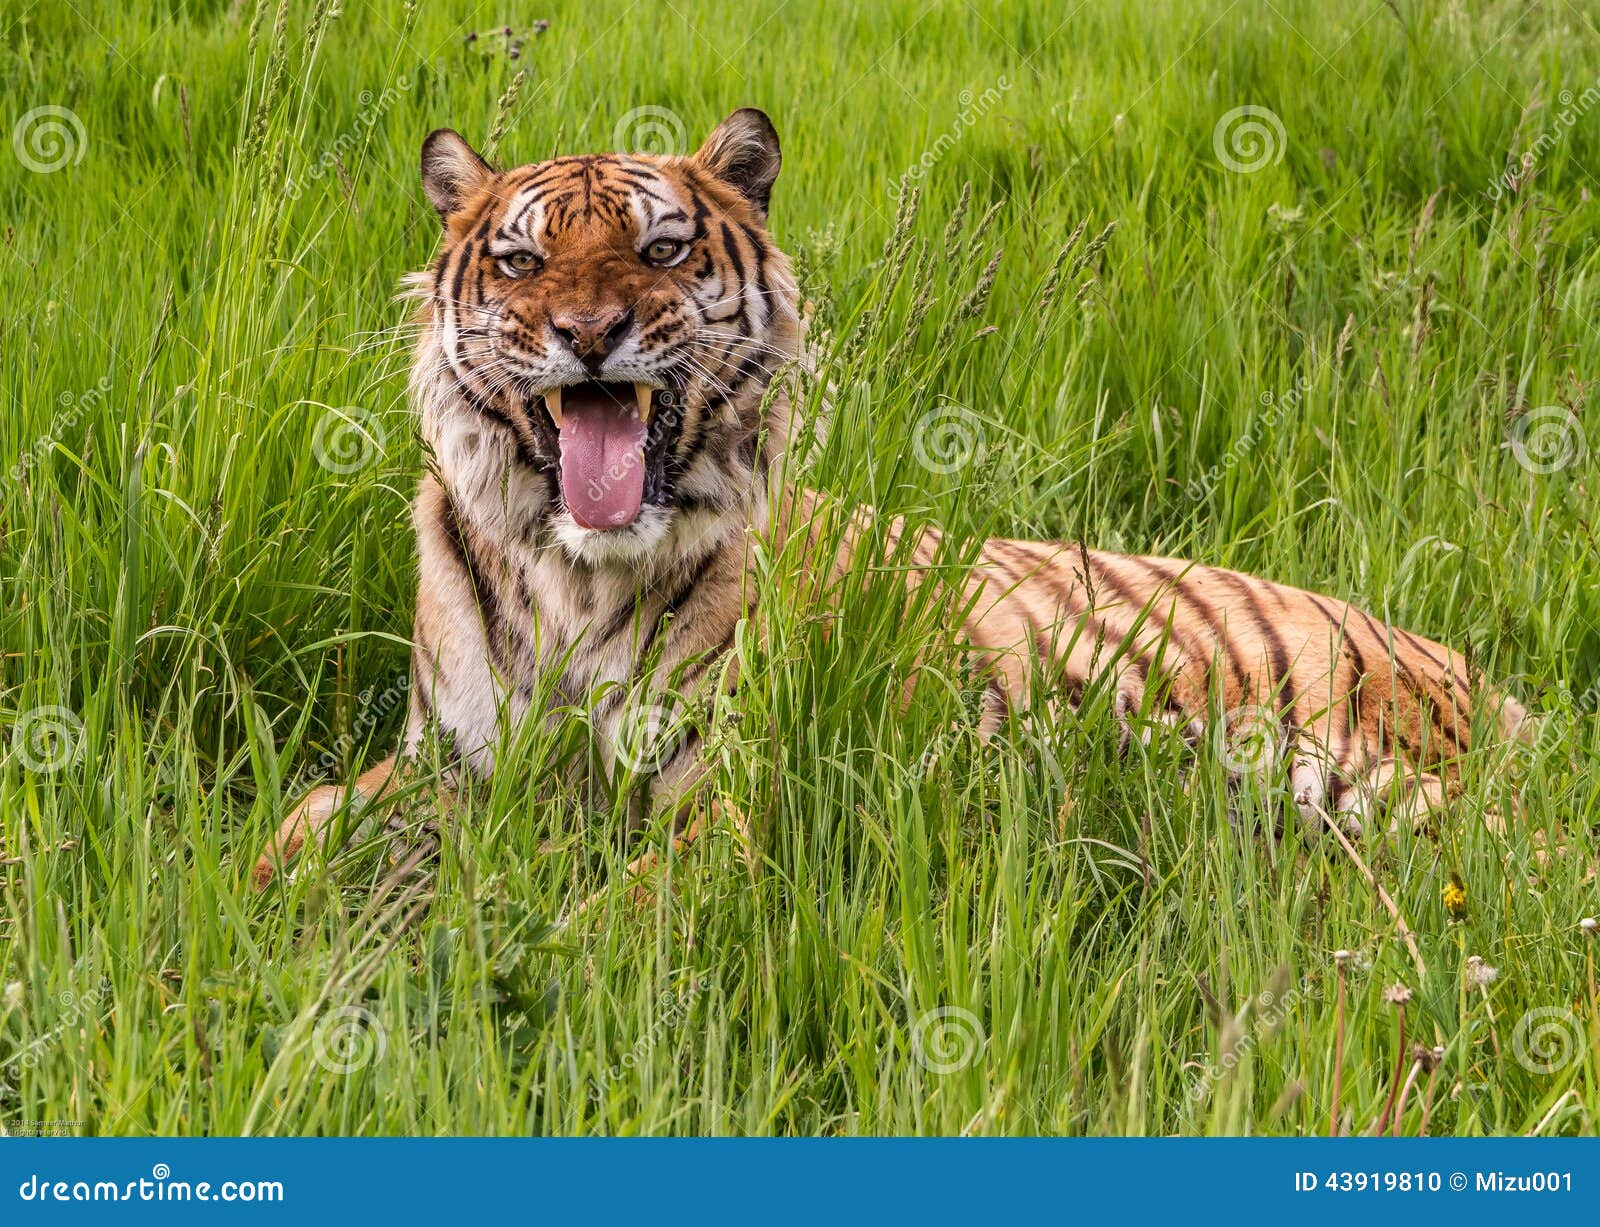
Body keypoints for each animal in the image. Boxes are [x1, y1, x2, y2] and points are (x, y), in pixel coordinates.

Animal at [252, 108, 1527, 891]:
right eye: (521, 263)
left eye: (660, 252)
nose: (588, 331)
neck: (572, 566)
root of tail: (1471, 669)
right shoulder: (450, 761)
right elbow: (305, 821)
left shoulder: (723, 788)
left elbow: (617, 921)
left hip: (1360, 767)